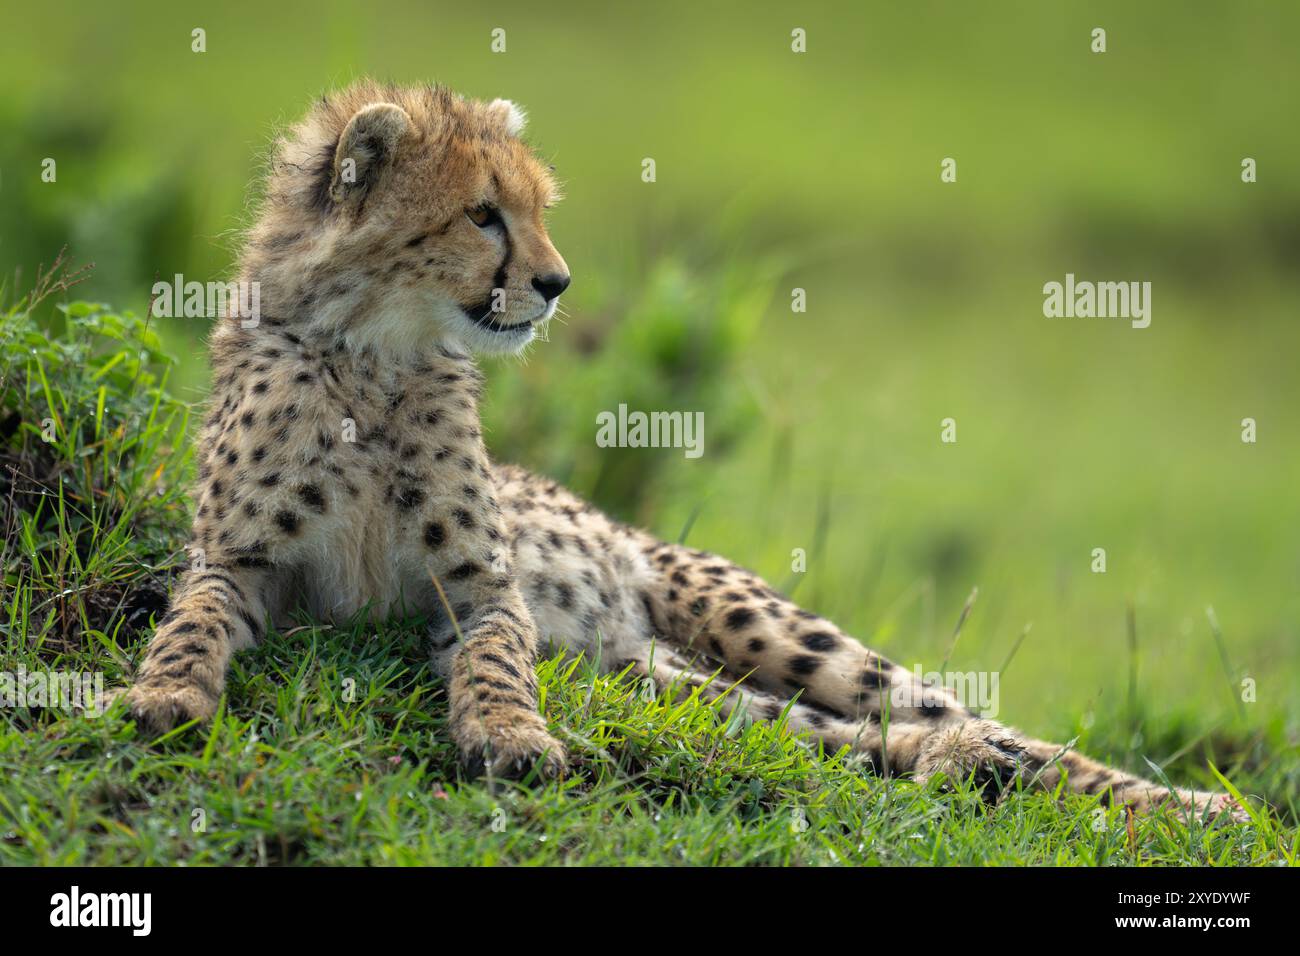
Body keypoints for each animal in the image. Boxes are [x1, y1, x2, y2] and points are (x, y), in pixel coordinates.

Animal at [121, 79, 1244, 821]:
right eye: (482, 214)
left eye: (534, 211)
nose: (557, 283)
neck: (371, 357)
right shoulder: (238, 557)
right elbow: (193, 617)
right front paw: (164, 692)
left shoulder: (484, 584)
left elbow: (495, 657)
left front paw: (510, 735)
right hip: (664, 681)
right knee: (847, 735)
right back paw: (954, 765)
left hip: (764, 628)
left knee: (975, 715)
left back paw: (1194, 806)